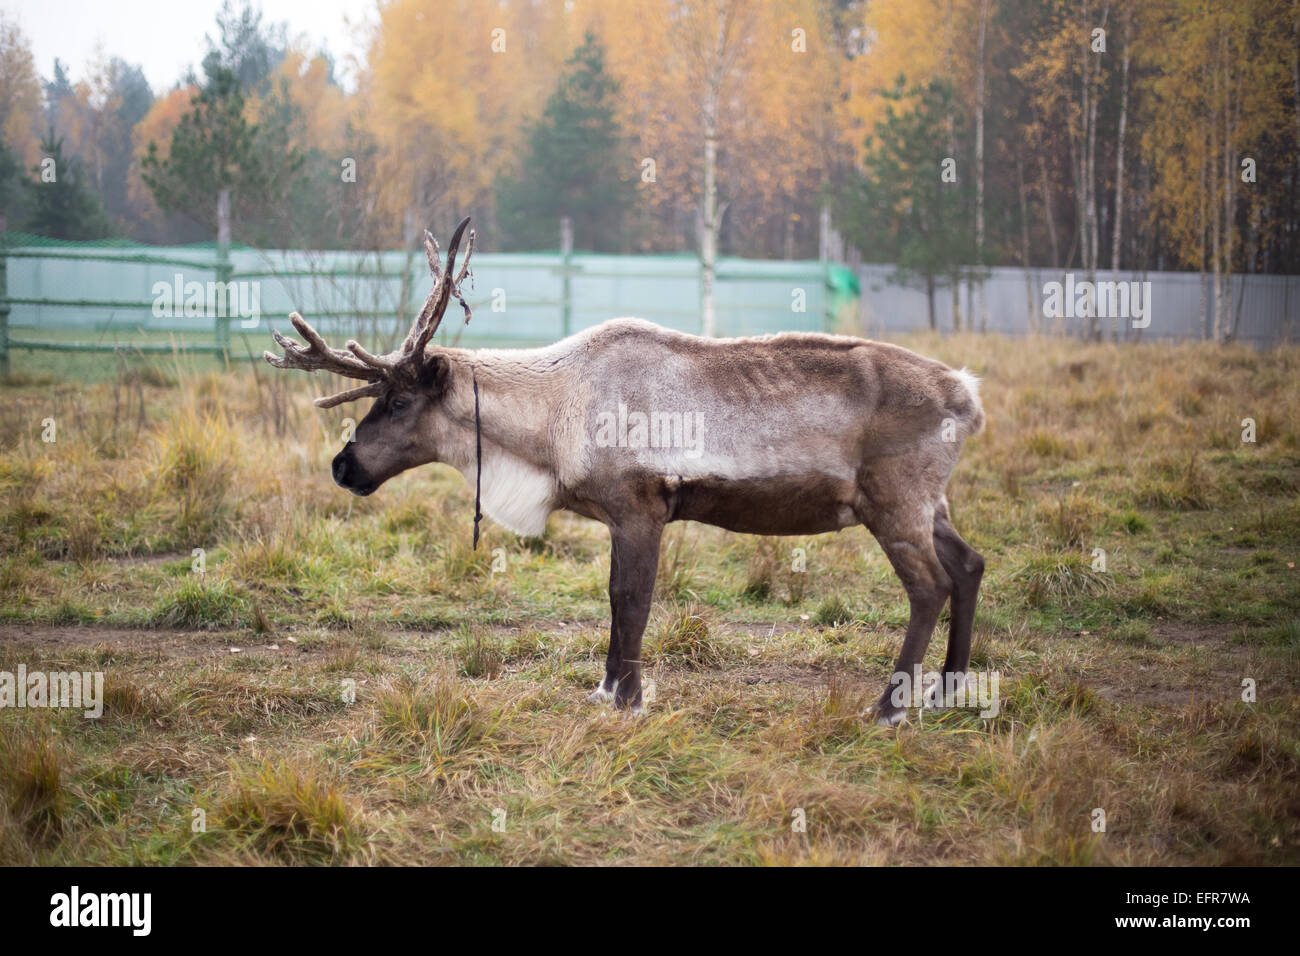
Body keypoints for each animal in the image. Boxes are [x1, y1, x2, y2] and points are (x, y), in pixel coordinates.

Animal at [266, 217, 986, 725]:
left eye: (398, 401)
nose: (343, 464)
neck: (553, 417)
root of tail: (969, 396)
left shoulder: (641, 508)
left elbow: (632, 600)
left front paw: (631, 699)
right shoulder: (617, 517)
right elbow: (614, 599)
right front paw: (605, 688)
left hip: (893, 500)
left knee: (929, 586)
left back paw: (889, 709)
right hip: (932, 502)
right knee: (969, 564)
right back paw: (948, 691)